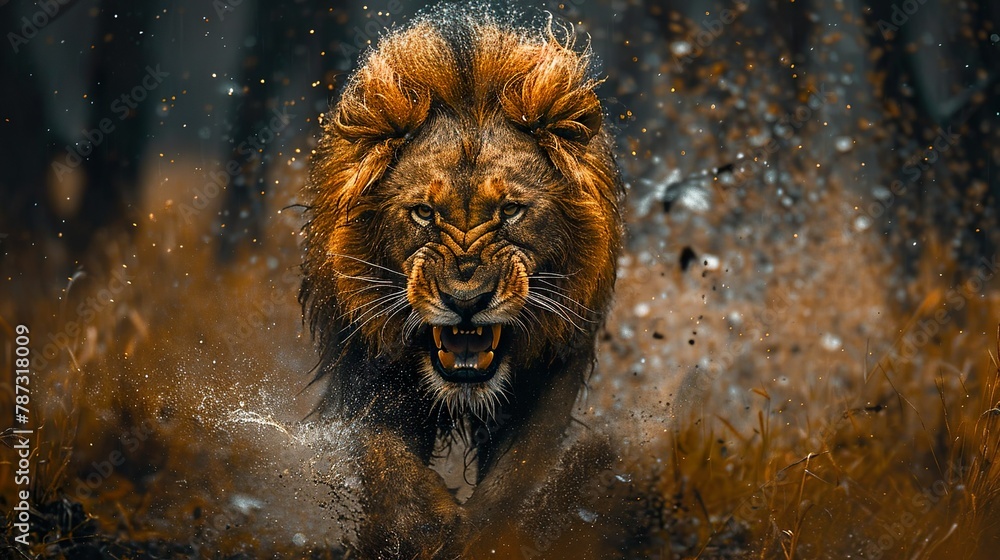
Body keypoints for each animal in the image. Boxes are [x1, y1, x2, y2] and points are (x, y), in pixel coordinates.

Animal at [301, 7, 624, 557]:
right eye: (424, 213)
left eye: (511, 210)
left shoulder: (552, 365)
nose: (466, 300)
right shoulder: (367, 359)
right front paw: (423, 527)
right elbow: (386, 461)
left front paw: (485, 538)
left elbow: (514, 481)